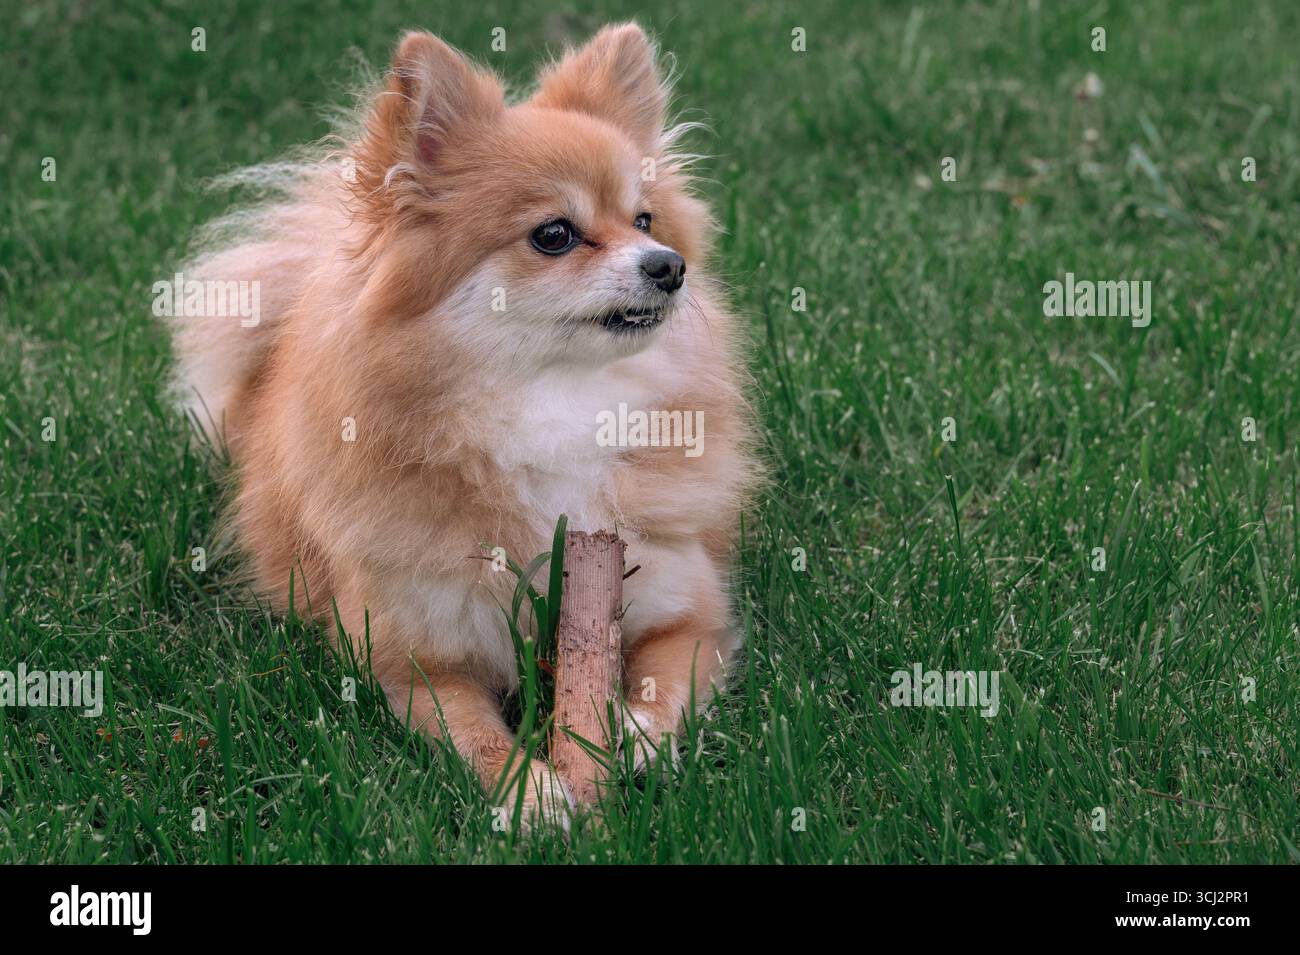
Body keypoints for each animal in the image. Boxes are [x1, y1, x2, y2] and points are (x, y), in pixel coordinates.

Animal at [170, 23, 759, 827]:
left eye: (645, 221)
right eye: (554, 234)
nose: (668, 265)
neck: (552, 408)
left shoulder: (688, 617)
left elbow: (665, 680)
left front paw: (634, 740)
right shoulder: (415, 667)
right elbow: (474, 734)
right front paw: (533, 794)